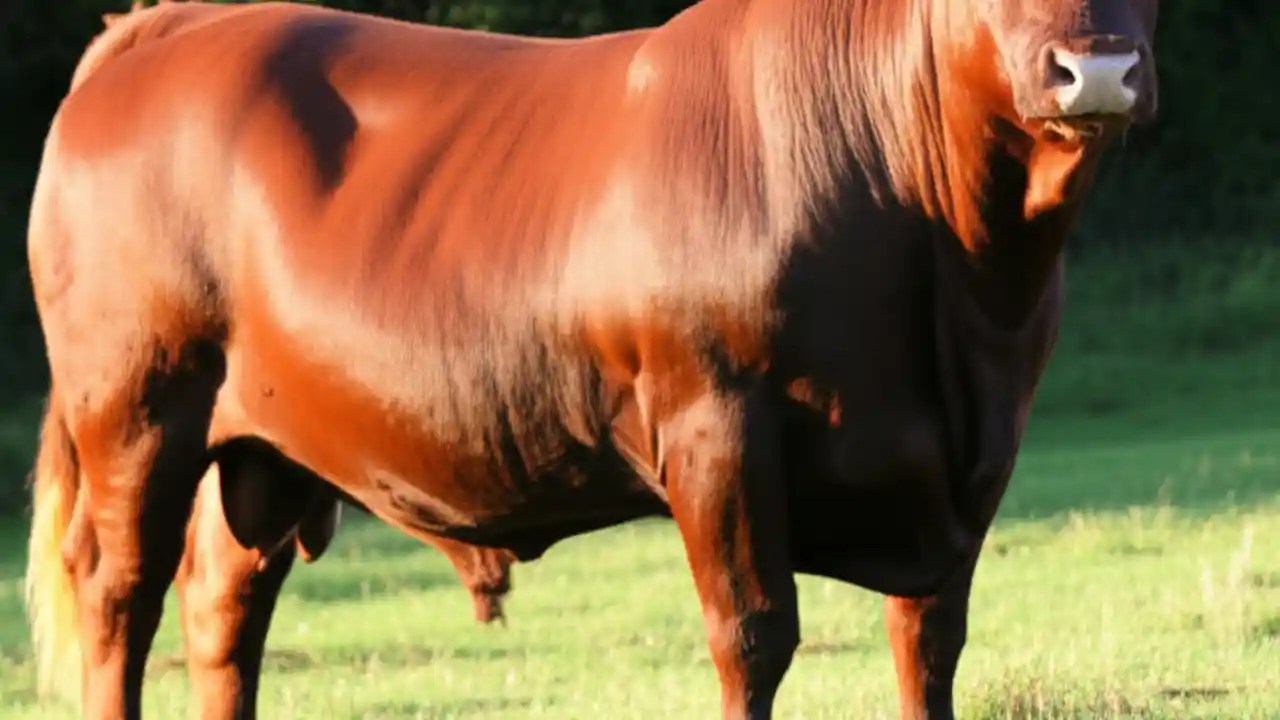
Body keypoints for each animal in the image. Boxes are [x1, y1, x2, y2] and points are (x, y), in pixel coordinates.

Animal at [23, 0, 1160, 717]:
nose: (1095, 67)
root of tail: (173, 24)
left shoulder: (968, 459)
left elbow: (927, 642)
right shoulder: (715, 422)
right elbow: (752, 635)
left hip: (261, 445)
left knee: (224, 608)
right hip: (133, 406)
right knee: (120, 596)